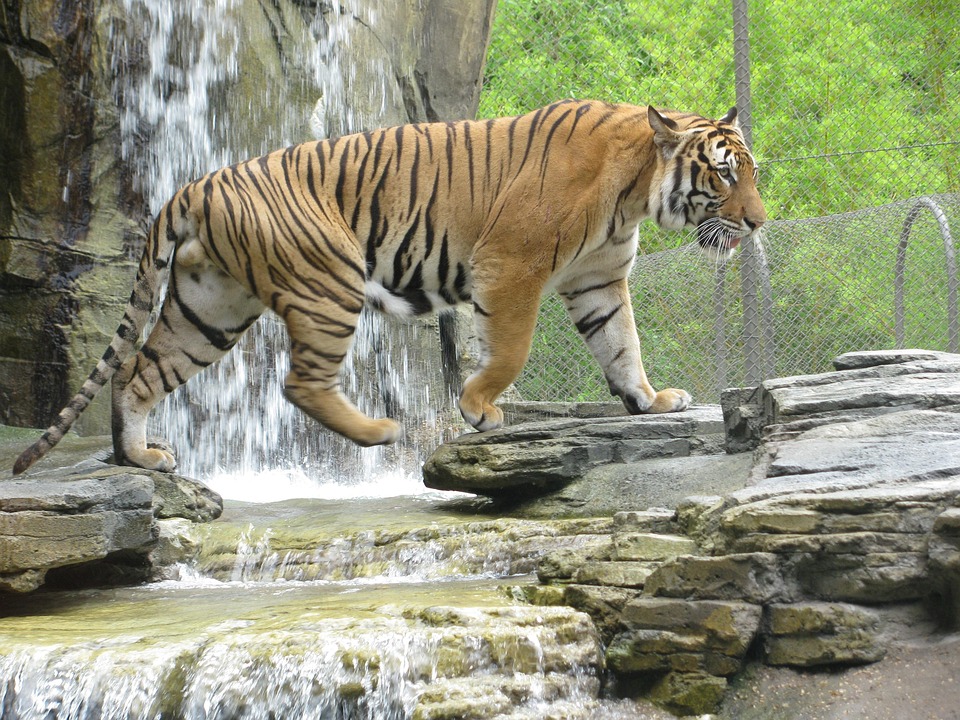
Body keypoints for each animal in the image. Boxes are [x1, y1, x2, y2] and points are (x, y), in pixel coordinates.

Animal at [12, 100, 766, 475]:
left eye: (749, 172)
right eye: (726, 173)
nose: (758, 221)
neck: (636, 188)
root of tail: (195, 184)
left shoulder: (599, 278)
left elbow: (621, 345)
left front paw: (650, 400)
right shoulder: (512, 265)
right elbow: (510, 350)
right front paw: (478, 409)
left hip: (209, 307)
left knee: (137, 372)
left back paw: (138, 457)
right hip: (329, 280)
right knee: (299, 383)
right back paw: (379, 431)